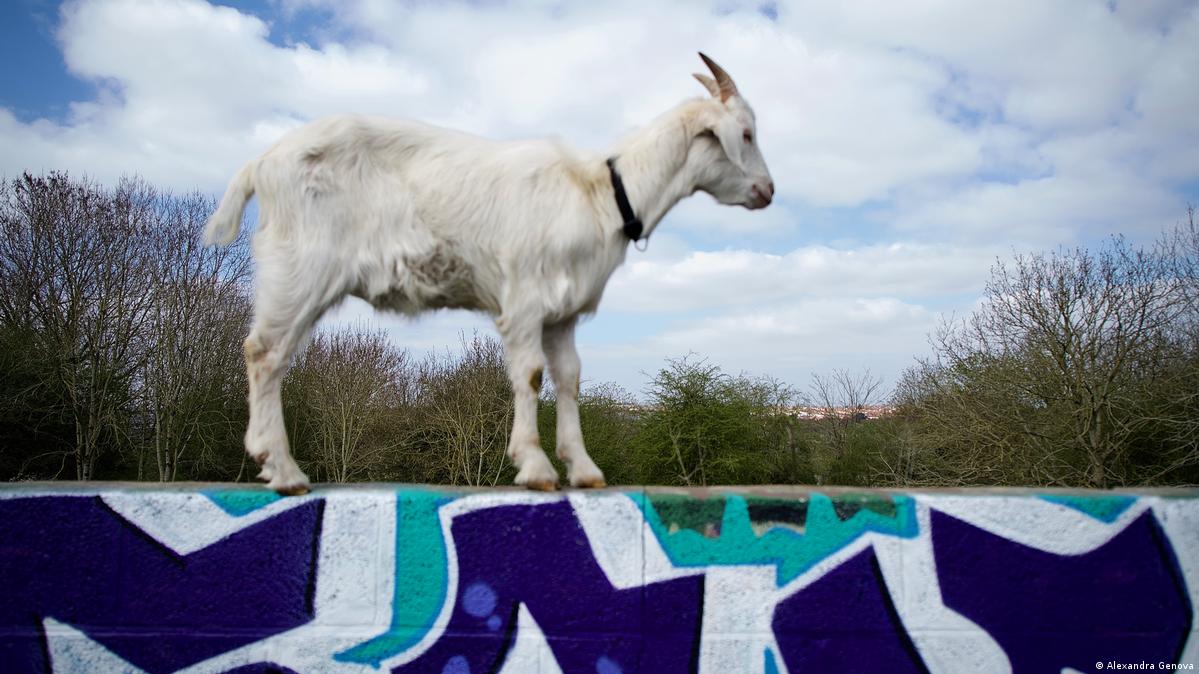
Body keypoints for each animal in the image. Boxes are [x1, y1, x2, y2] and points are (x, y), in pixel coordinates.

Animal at [204, 53, 774, 494]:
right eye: (745, 134)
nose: (768, 191)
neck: (600, 194)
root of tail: (262, 163)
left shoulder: (562, 312)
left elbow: (569, 378)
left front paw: (584, 469)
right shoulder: (523, 297)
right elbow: (531, 373)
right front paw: (535, 466)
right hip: (303, 264)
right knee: (265, 353)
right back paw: (282, 469)